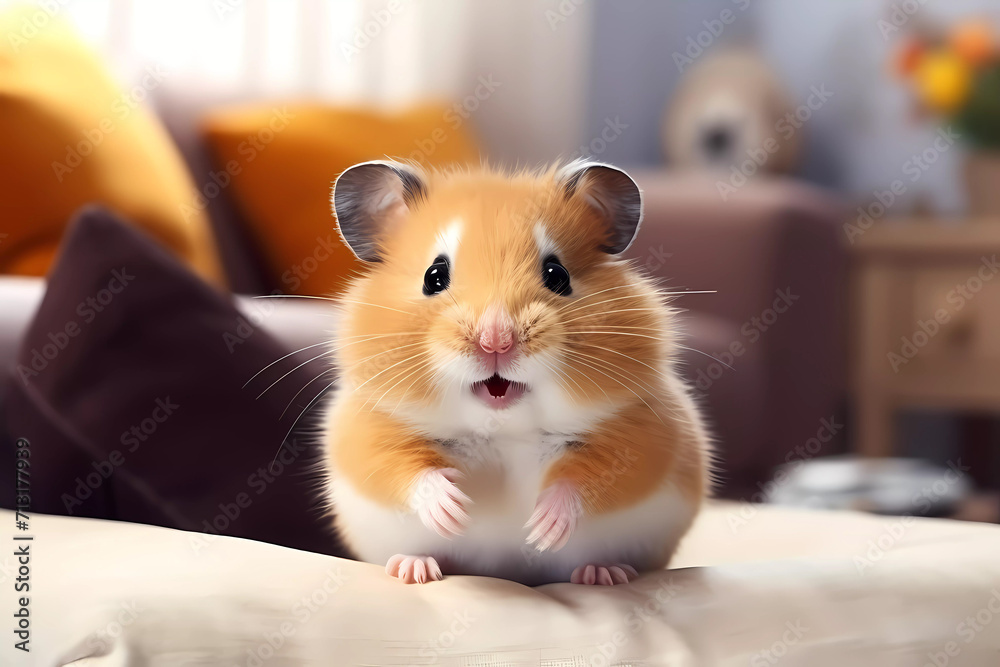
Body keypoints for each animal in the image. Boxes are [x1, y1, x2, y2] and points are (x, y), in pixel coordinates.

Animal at [322, 159, 710, 586]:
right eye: (433, 277)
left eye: (557, 275)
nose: (496, 340)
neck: (503, 429)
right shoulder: (368, 430)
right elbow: (404, 469)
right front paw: (455, 511)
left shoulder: (641, 435)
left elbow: (587, 479)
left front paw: (541, 529)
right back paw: (414, 568)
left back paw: (602, 574)